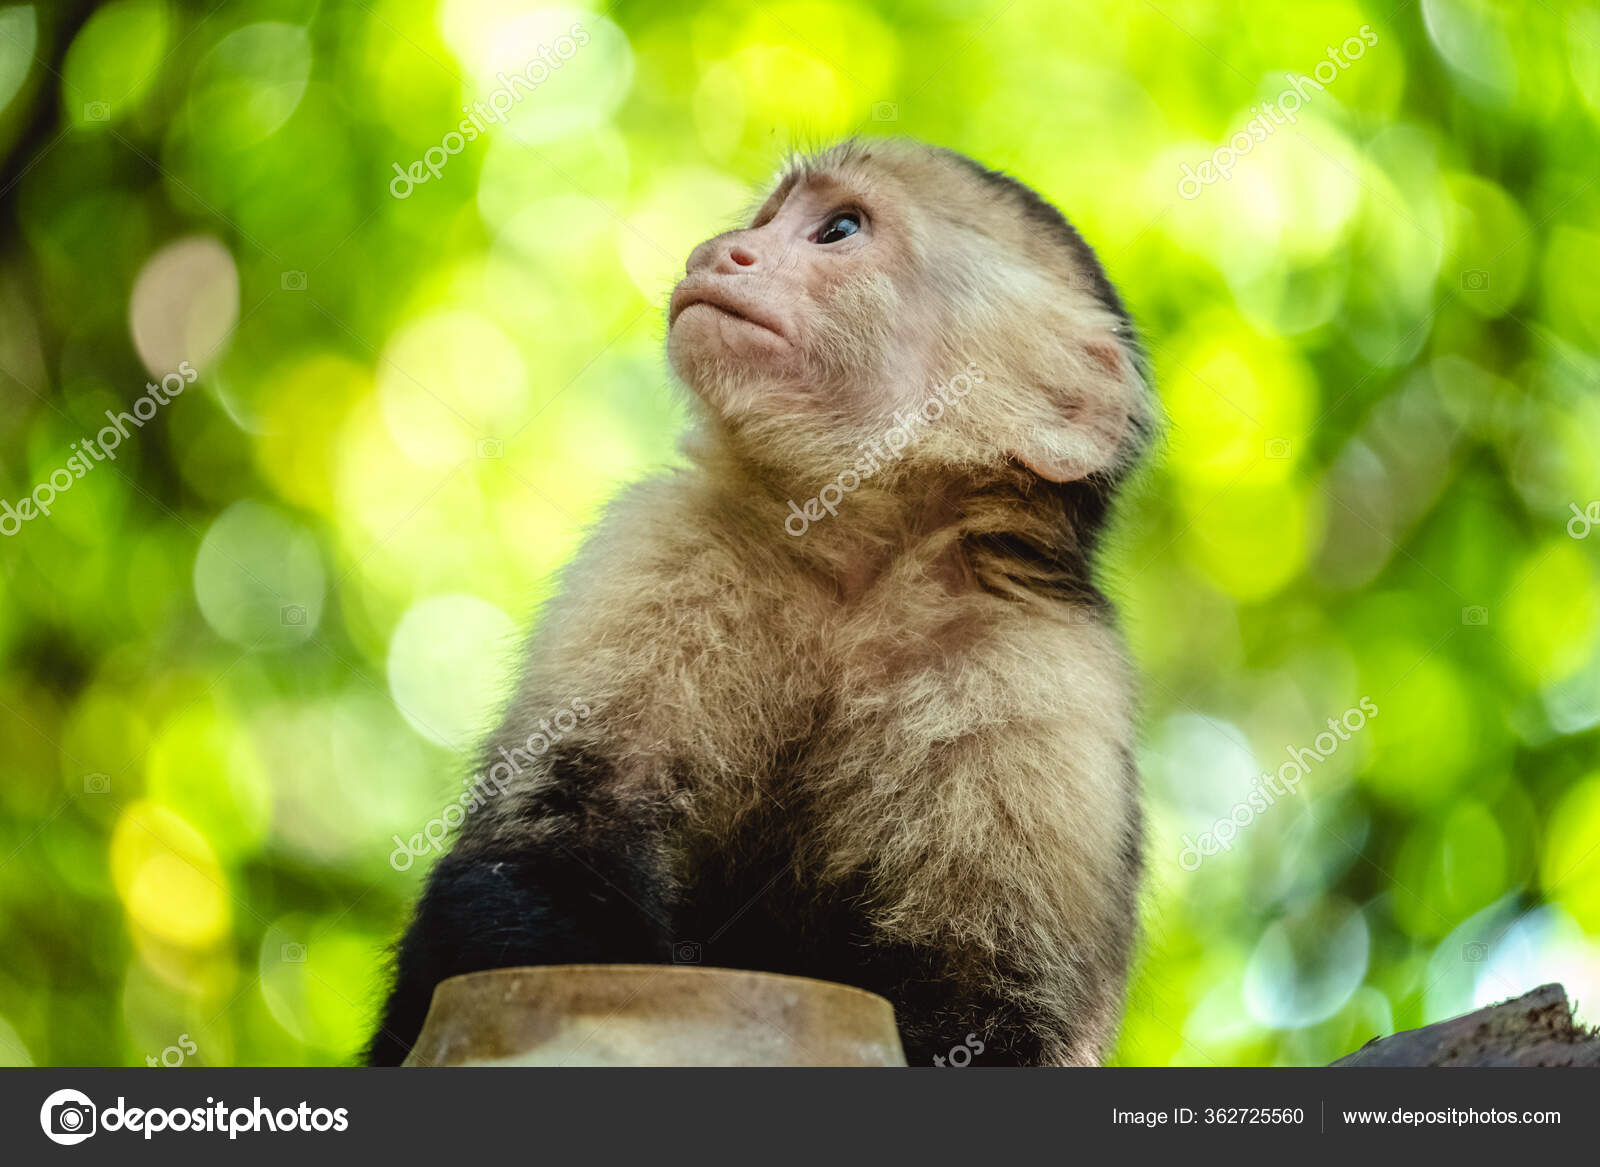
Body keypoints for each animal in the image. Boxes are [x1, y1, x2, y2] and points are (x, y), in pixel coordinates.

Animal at [367, 139, 1158, 1068]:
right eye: (766, 220)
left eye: (839, 229)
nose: (716, 253)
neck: (862, 564)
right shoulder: (659, 542)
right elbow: (538, 859)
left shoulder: (1043, 670)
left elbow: (987, 1012)